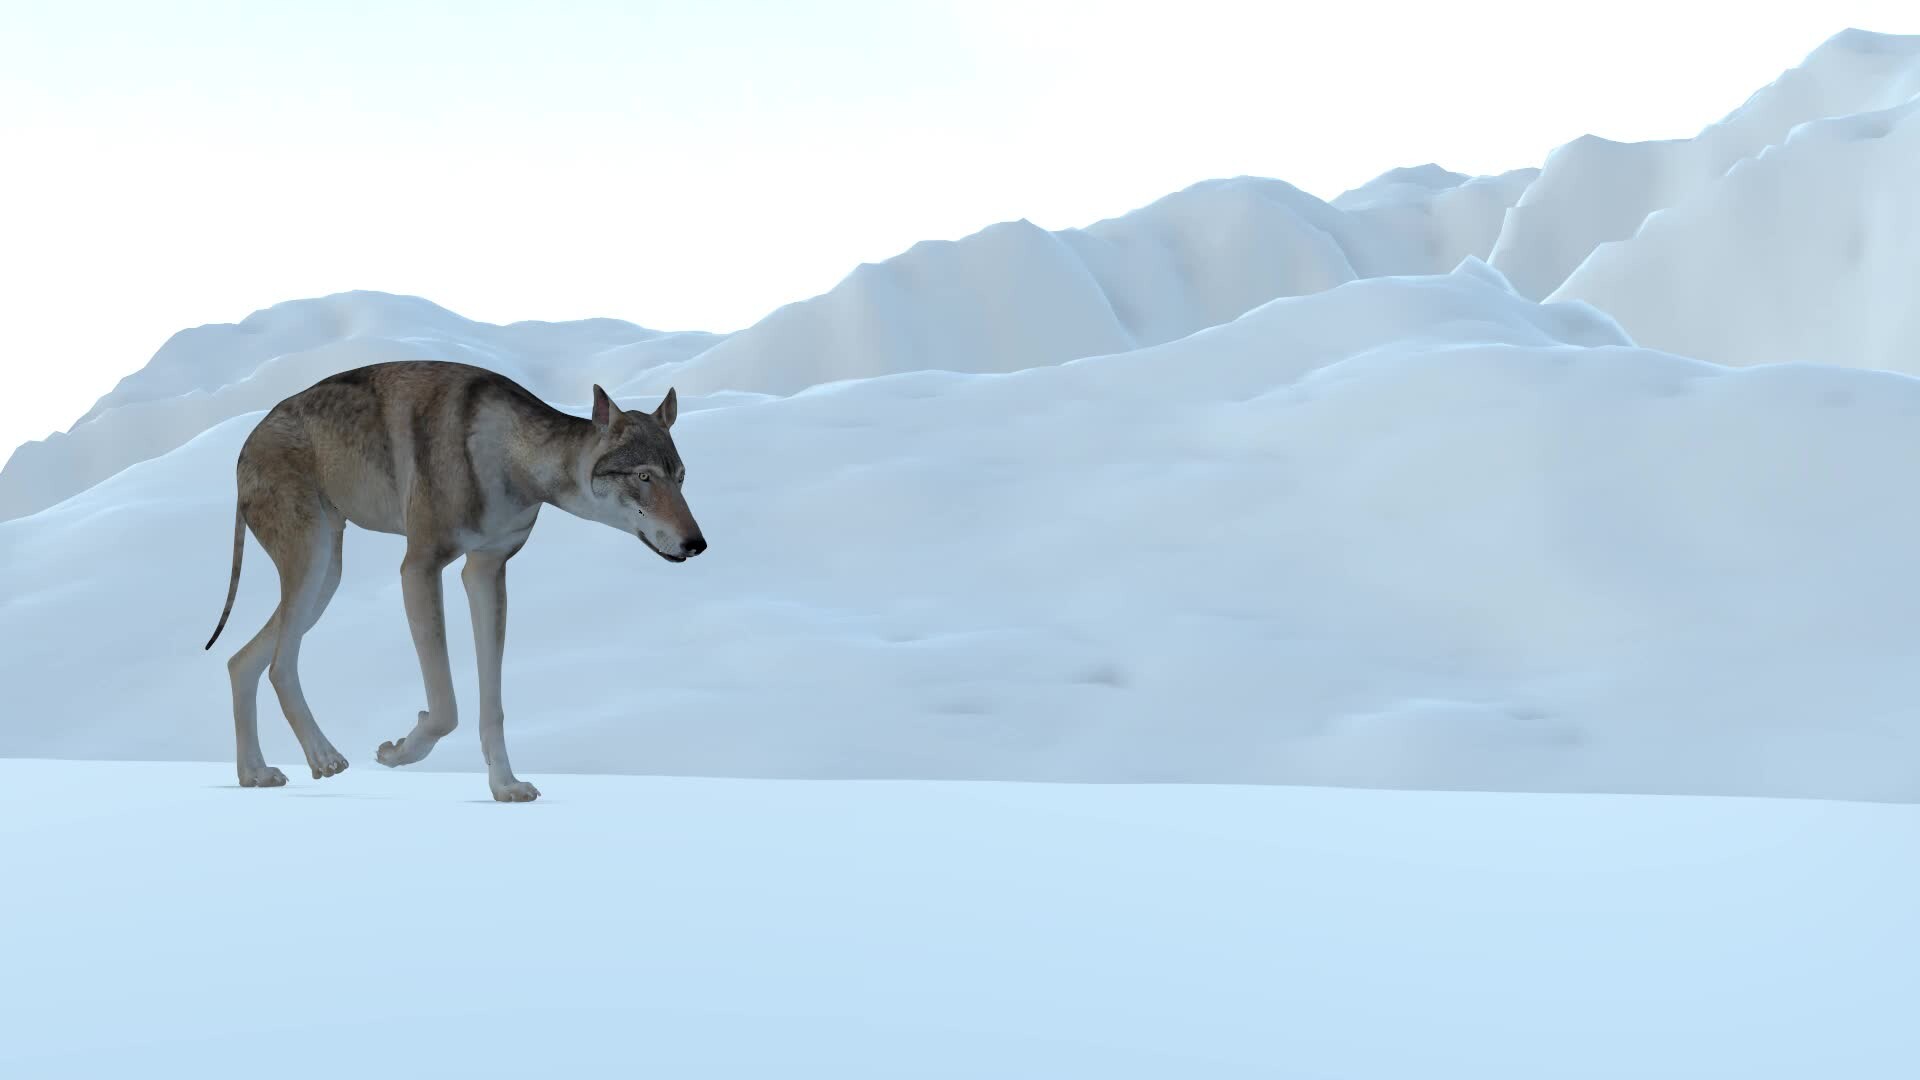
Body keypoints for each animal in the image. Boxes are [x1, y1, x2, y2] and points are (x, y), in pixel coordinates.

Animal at [203, 360, 704, 802]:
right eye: (644, 476)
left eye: (681, 478)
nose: (697, 544)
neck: (514, 457)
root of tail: (246, 444)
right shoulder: (419, 568)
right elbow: (445, 707)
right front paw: (397, 753)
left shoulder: (486, 571)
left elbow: (492, 703)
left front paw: (505, 787)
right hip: (314, 562)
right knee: (278, 665)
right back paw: (324, 757)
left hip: (328, 577)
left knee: (240, 660)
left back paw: (255, 775)